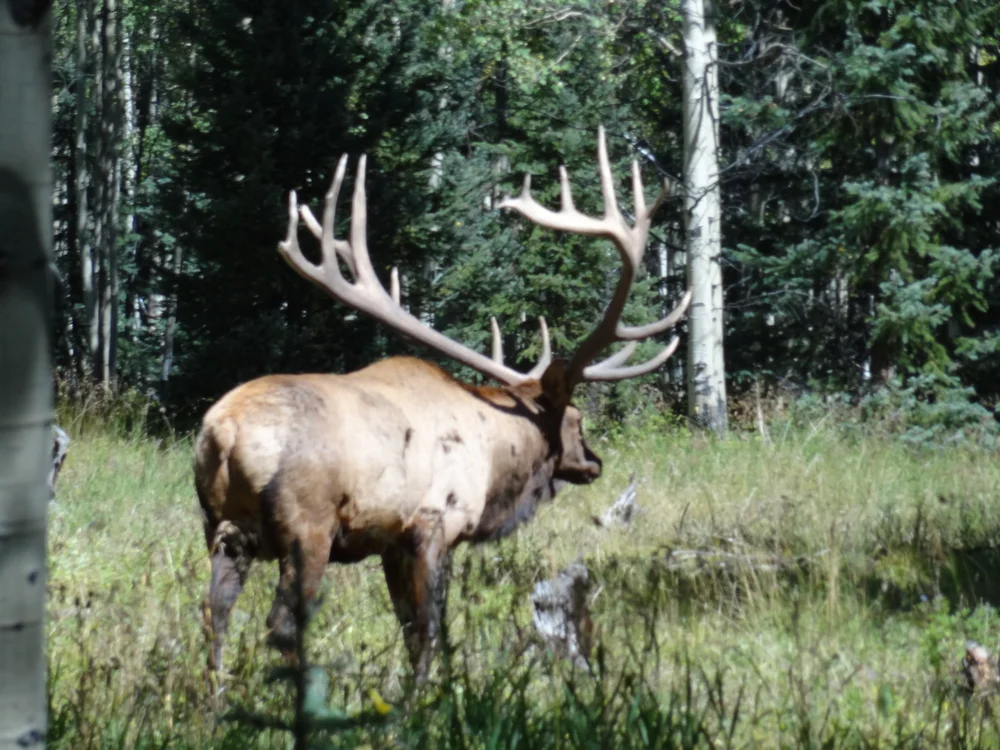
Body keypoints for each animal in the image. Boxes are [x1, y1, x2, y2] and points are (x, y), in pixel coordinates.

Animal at [195, 127, 691, 683]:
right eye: (576, 419)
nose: (594, 462)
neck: (499, 458)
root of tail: (225, 433)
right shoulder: (435, 524)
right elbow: (428, 628)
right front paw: (426, 694)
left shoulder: (390, 541)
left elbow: (410, 626)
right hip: (307, 527)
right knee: (280, 625)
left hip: (224, 528)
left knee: (214, 615)